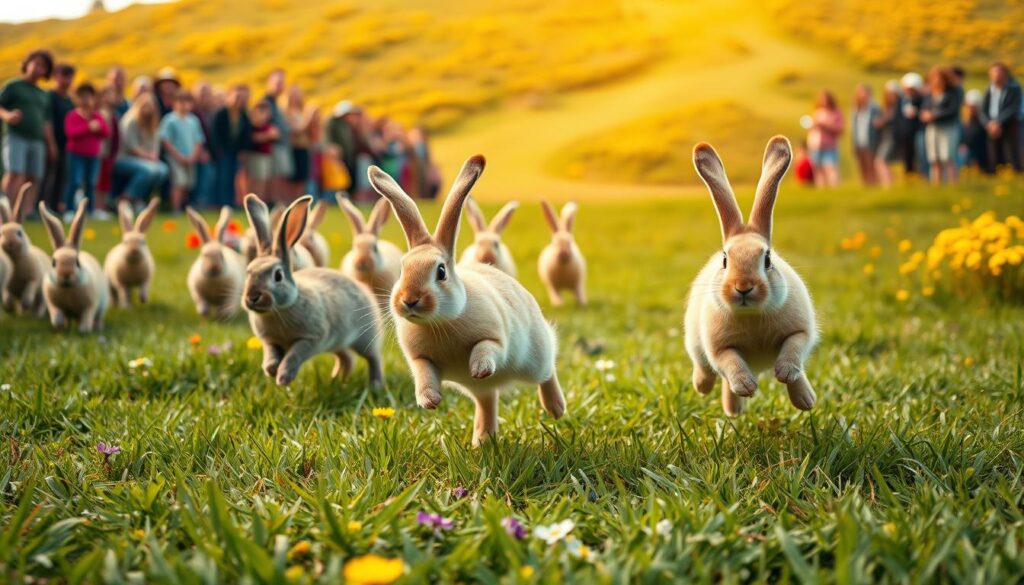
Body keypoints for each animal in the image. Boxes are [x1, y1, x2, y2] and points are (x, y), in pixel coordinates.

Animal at [0, 183, 49, 317]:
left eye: (19, 233)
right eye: (1, 234)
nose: (9, 243)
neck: (14, 260)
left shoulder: (33, 279)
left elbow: (28, 291)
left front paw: (25, 304)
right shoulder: (7, 286)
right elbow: (7, 295)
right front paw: (8, 307)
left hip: (42, 292)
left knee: (40, 302)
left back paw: (36, 314)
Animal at [38, 200, 109, 333]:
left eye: (77, 262)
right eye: (53, 262)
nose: (65, 275)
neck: (68, 288)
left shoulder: (90, 305)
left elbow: (87, 316)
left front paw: (84, 330)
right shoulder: (53, 304)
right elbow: (57, 316)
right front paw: (60, 326)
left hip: (102, 305)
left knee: (98, 317)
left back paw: (97, 328)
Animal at [242, 194, 384, 388]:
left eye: (278, 276)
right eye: (248, 272)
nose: (252, 297)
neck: (281, 308)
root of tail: (362, 287)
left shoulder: (312, 338)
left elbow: (294, 355)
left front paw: (283, 377)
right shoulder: (270, 341)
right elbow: (271, 354)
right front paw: (271, 370)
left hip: (364, 337)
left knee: (373, 357)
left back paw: (375, 385)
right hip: (338, 343)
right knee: (347, 358)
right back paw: (337, 380)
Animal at [367, 155, 566, 447]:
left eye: (441, 272)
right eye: (402, 269)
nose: (409, 300)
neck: (439, 323)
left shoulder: (496, 339)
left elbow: (486, 347)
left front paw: (479, 368)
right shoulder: (419, 358)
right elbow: (423, 374)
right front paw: (429, 401)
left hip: (534, 358)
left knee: (547, 370)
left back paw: (556, 408)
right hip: (483, 392)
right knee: (487, 401)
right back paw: (482, 442)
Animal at [684, 135, 818, 416]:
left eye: (767, 259)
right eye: (725, 260)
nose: (743, 287)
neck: (752, 315)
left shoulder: (801, 331)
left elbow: (793, 350)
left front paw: (786, 375)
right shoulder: (719, 348)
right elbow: (730, 363)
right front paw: (746, 387)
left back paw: (805, 400)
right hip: (694, 341)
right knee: (706, 369)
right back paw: (711, 393)